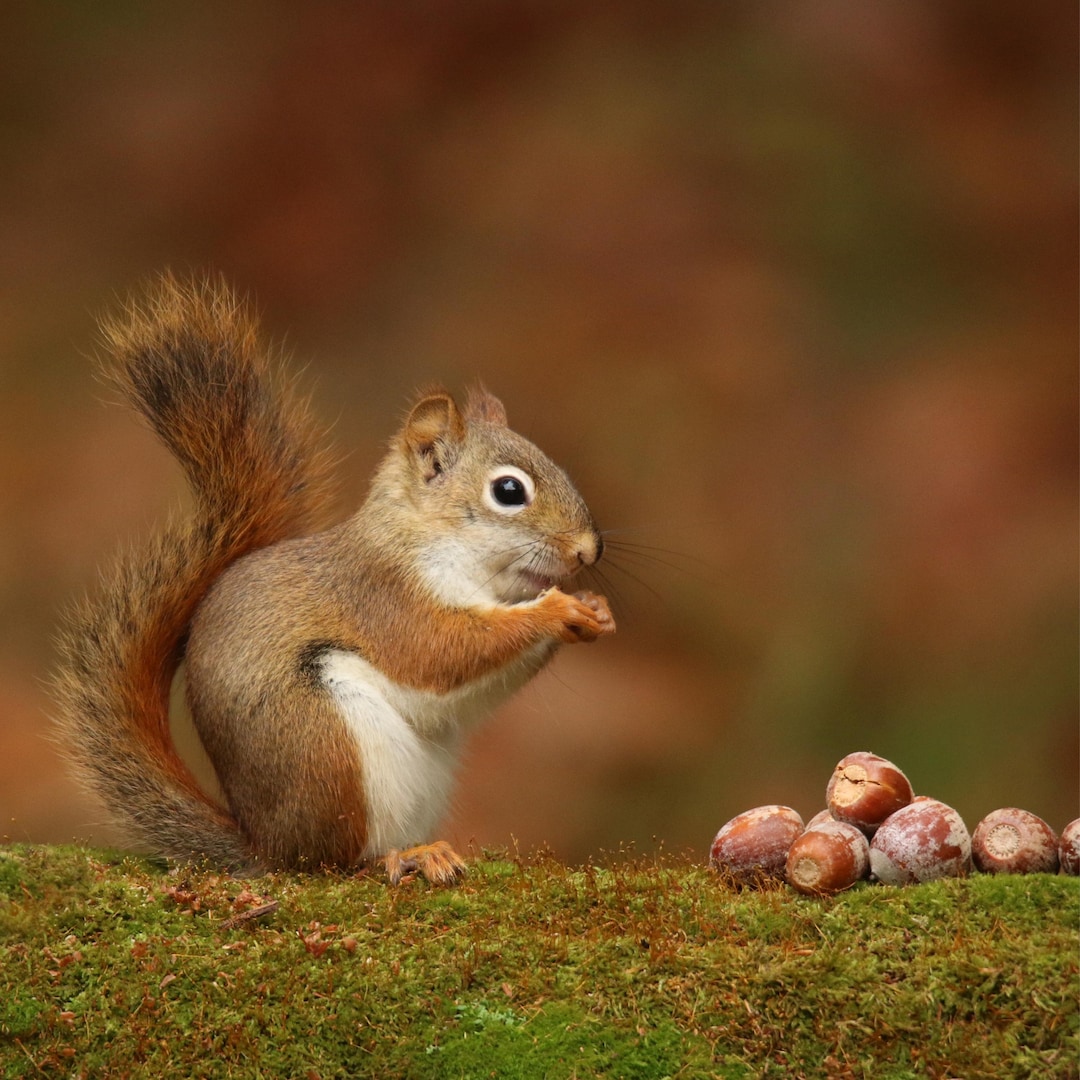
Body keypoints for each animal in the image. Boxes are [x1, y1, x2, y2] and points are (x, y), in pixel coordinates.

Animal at [51, 273, 614, 884]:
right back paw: (404, 857)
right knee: (334, 862)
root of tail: (267, 847)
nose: (589, 550)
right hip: (327, 742)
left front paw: (595, 610)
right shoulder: (384, 597)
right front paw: (557, 610)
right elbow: (441, 651)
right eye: (509, 491)